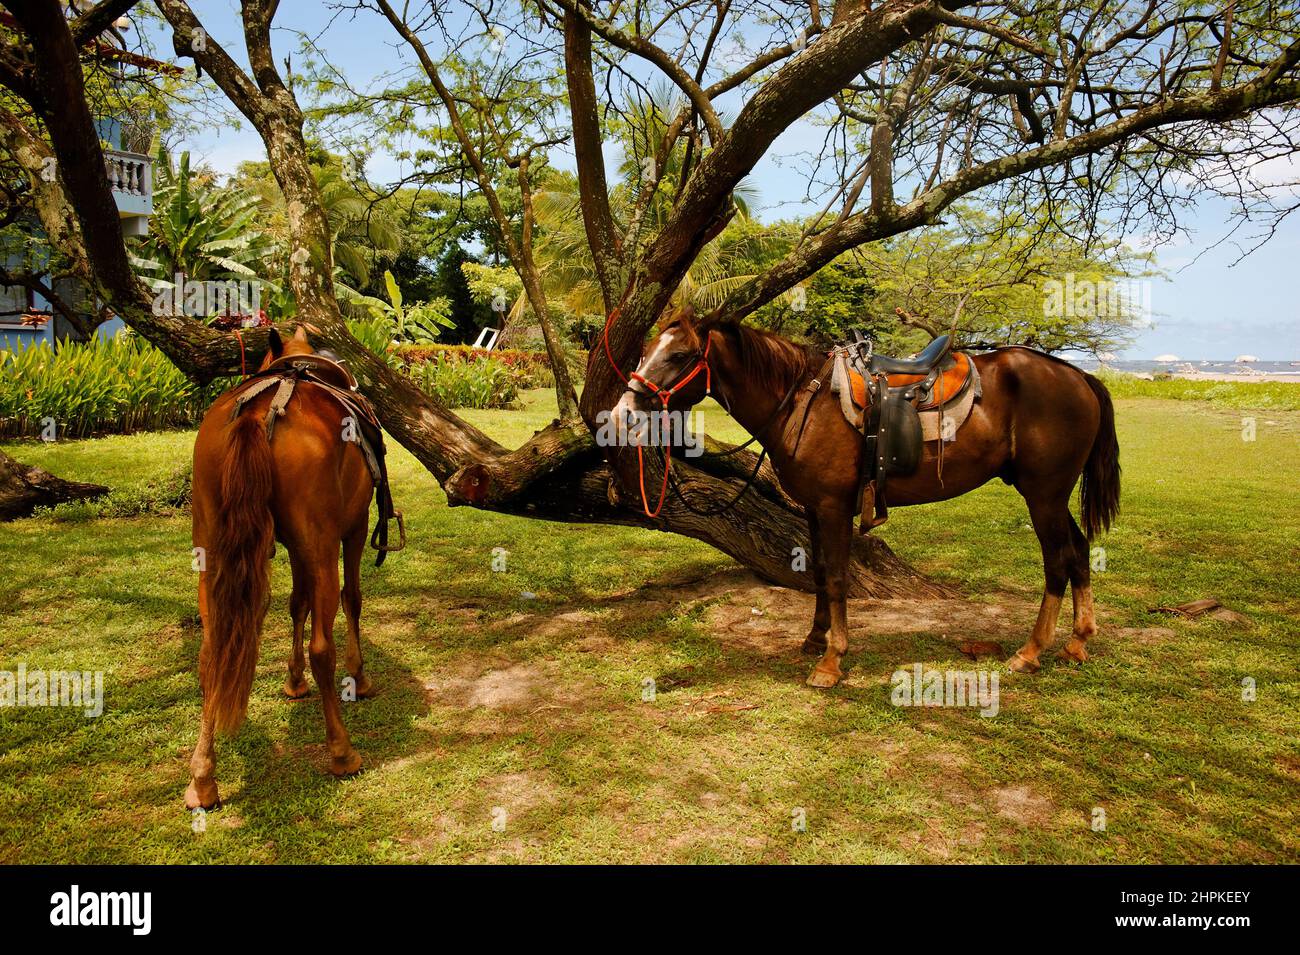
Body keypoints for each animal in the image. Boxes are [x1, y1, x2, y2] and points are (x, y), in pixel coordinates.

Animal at [186, 326, 382, 809]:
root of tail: (260, 412)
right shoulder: (352, 528)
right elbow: (351, 599)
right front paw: (359, 675)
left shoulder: (296, 545)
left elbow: (296, 602)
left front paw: (293, 681)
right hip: (323, 544)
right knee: (322, 646)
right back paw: (342, 751)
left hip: (210, 549)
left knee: (210, 654)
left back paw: (203, 777)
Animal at [611, 308, 1120, 689]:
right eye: (646, 351)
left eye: (679, 355)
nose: (622, 413)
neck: (802, 401)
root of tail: (1078, 377)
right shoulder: (813, 508)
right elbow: (819, 572)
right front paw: (816, 638)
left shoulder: (834, 506)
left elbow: (838, 576)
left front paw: (831, 661)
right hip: (1052, 495)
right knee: (1078, 553)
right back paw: (1077, 643)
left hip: (1043, 494)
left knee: (1058, 562)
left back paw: (1030, 652)